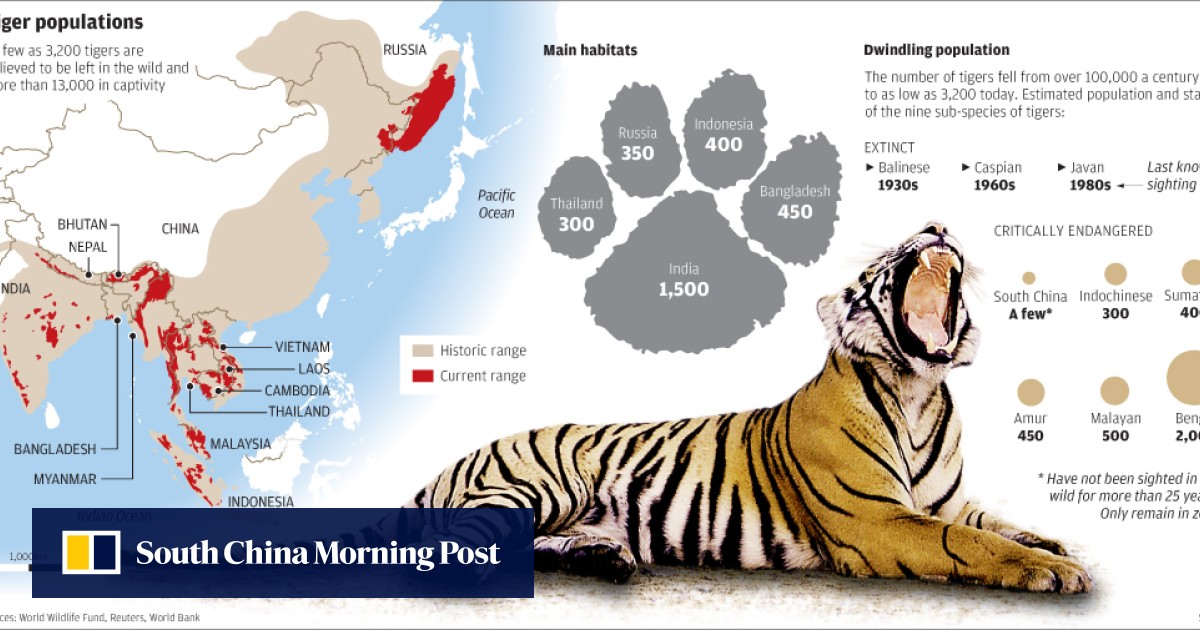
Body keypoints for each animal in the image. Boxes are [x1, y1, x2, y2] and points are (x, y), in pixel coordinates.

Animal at [404, 222, 1091, 593]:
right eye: (881, 258)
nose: (937, 227)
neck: (918, 390)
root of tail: (447, 465)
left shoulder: (944, 502)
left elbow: (994, 522)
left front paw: (1056, 545)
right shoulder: (878, 521)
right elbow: (969, 542)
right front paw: (1056, 570)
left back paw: (607, 558)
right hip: (535, 488)